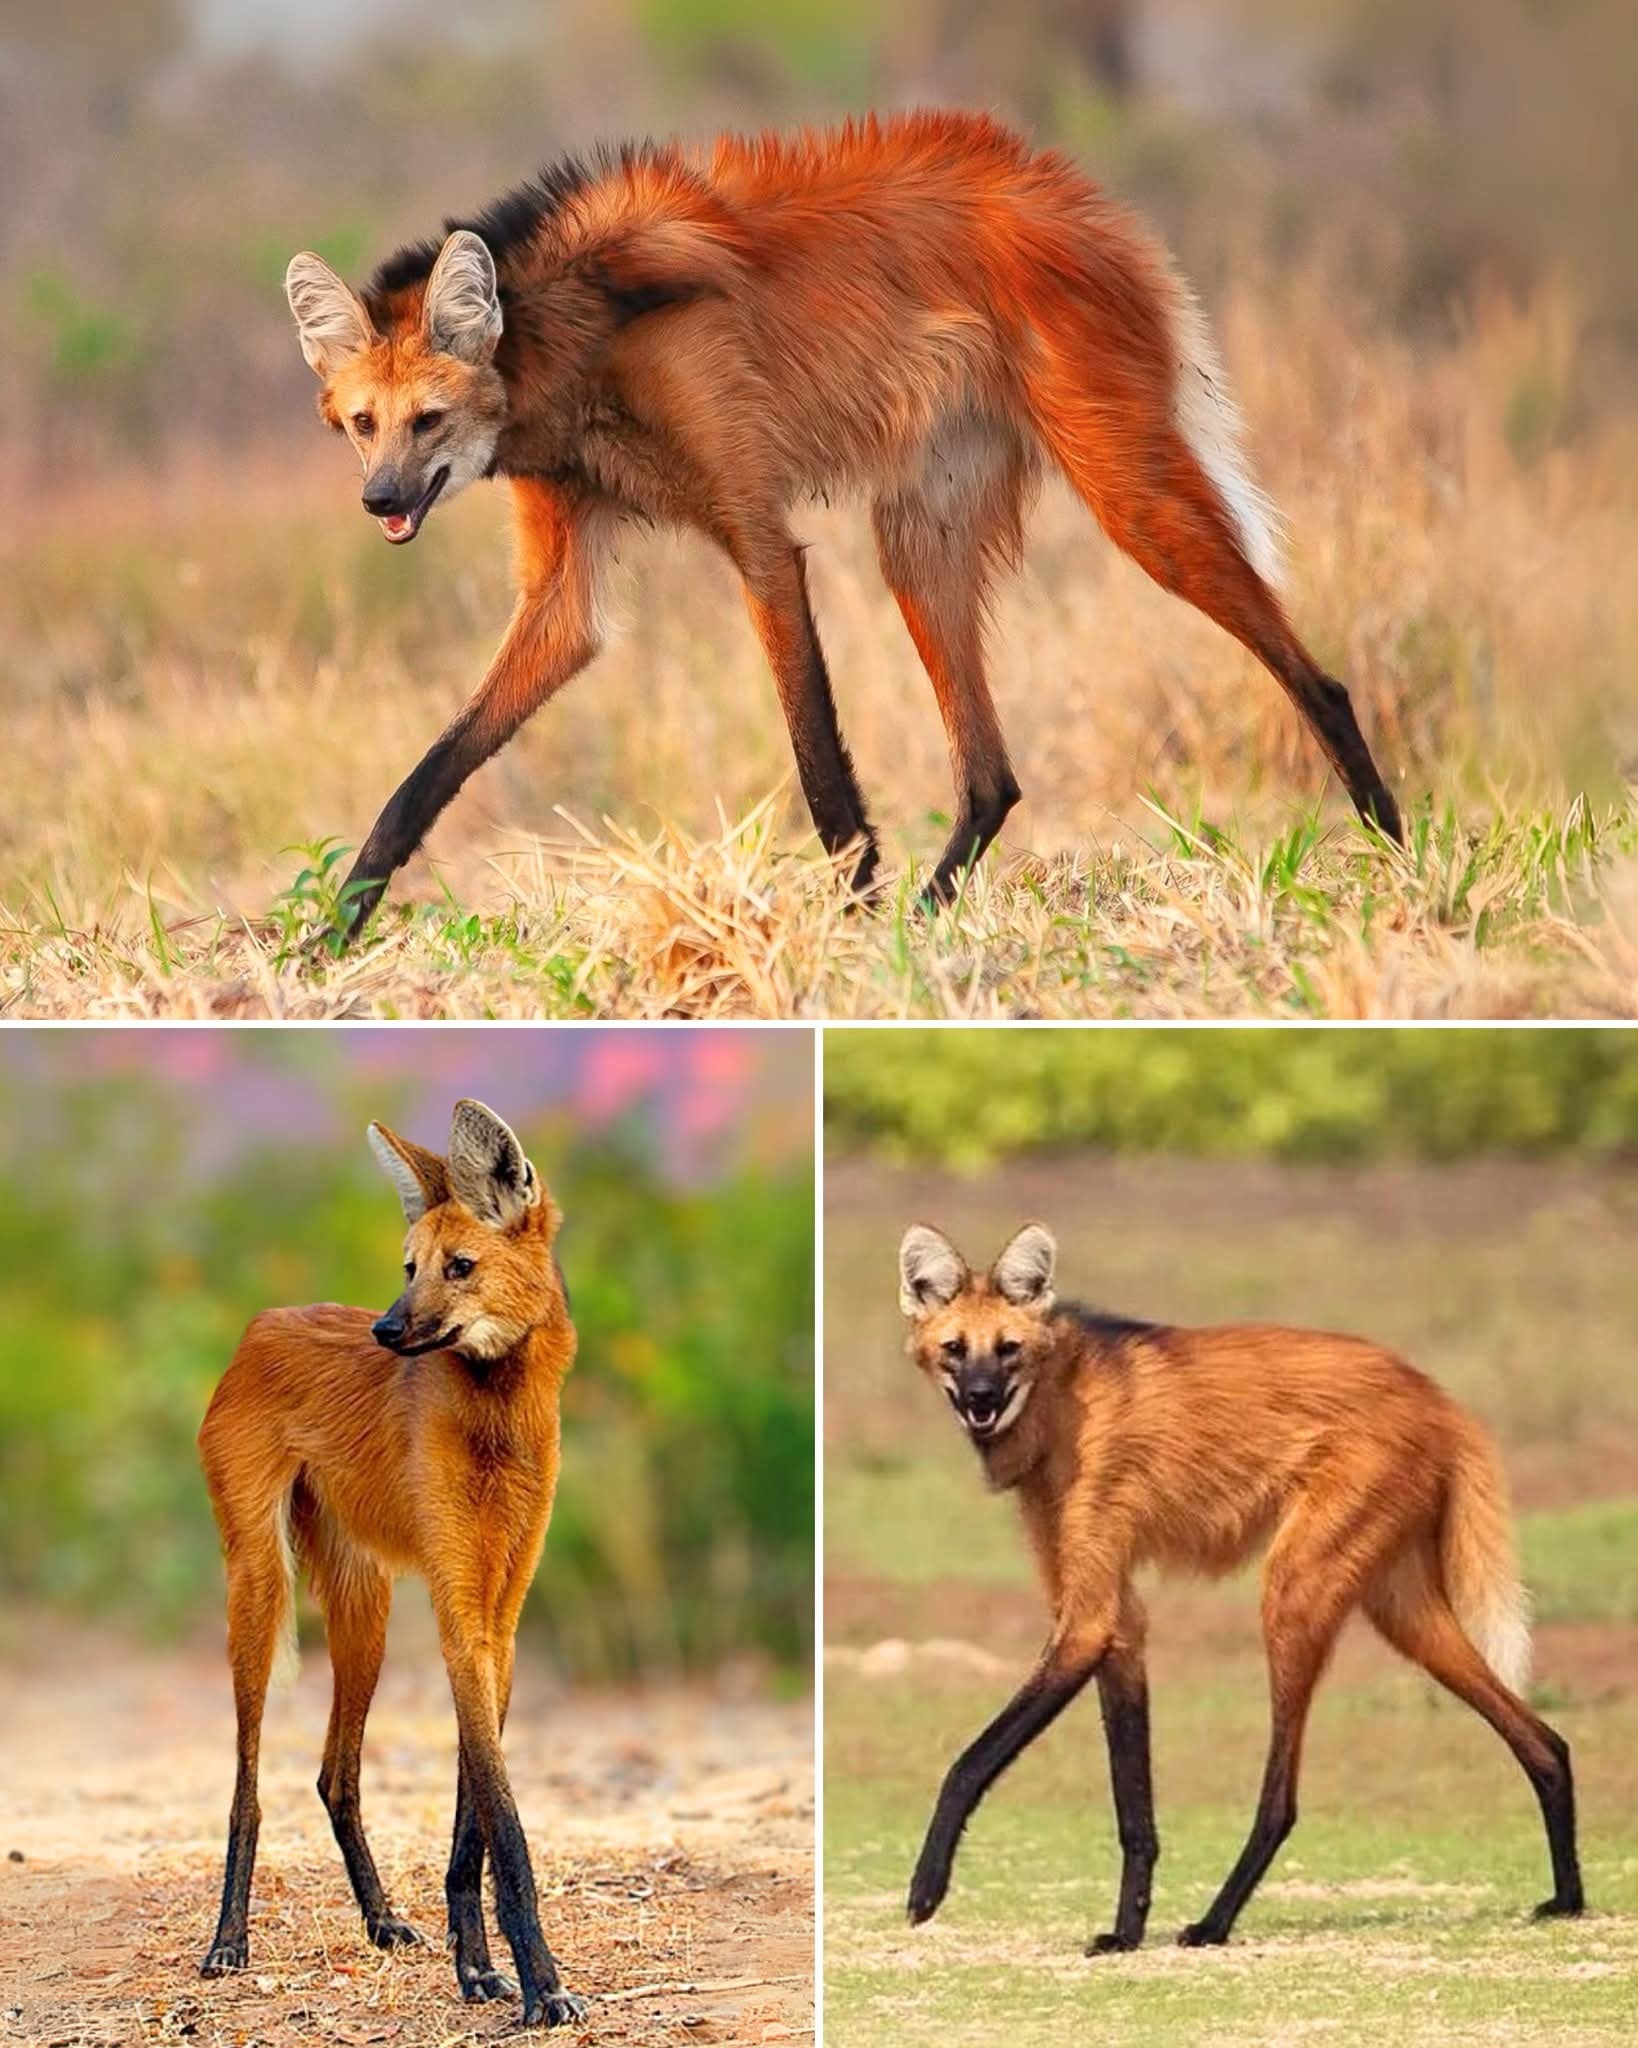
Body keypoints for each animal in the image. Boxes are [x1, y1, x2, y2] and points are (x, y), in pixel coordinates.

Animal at [196, 1099, 586, 2028]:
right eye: (409, 1268)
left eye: (460, 1267)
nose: (385, 1328)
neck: (498, 1417)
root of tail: (258, 1325)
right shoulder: (459, 1611)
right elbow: (506, 1826)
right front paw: (540, 1984)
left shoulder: (498, 1620)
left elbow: (475, 1817)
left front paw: (480, 1970)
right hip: (260, 1590)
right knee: (248, 1785)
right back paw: (228, 1941)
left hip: (363, 1614)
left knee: (334, 1776)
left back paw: (381, 1921)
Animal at [282, 109, 1402, 943]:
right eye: (362, 425)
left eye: (428, 420)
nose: (381, 500)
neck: (572, 348)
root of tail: (1076, 194)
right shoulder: (568, 583)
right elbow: (429, 772)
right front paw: (330, 936)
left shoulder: (758, 534)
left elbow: (817, 755)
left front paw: (850, 929)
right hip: (920, 535)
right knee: (991, 776)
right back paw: (927, 923)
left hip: (1127, 489)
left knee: (1314, 674)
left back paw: (1394, 852)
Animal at [895, 1220, 1583, 1952]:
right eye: (955, 1350)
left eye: (1008, 1350)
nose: (981, 1401)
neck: (1056, 1404)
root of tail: (1439, 1397)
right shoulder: (1116, 1623)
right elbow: (1133, 1808)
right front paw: (1126, 1932)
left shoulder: (1087, 1619)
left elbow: (968, 1763)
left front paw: (926, 1889)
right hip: (1401, 1606)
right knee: (1543, 1741)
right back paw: (1568, 1897)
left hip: (1294, 1590)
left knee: (1282, 1800)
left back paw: (1214, 1922)